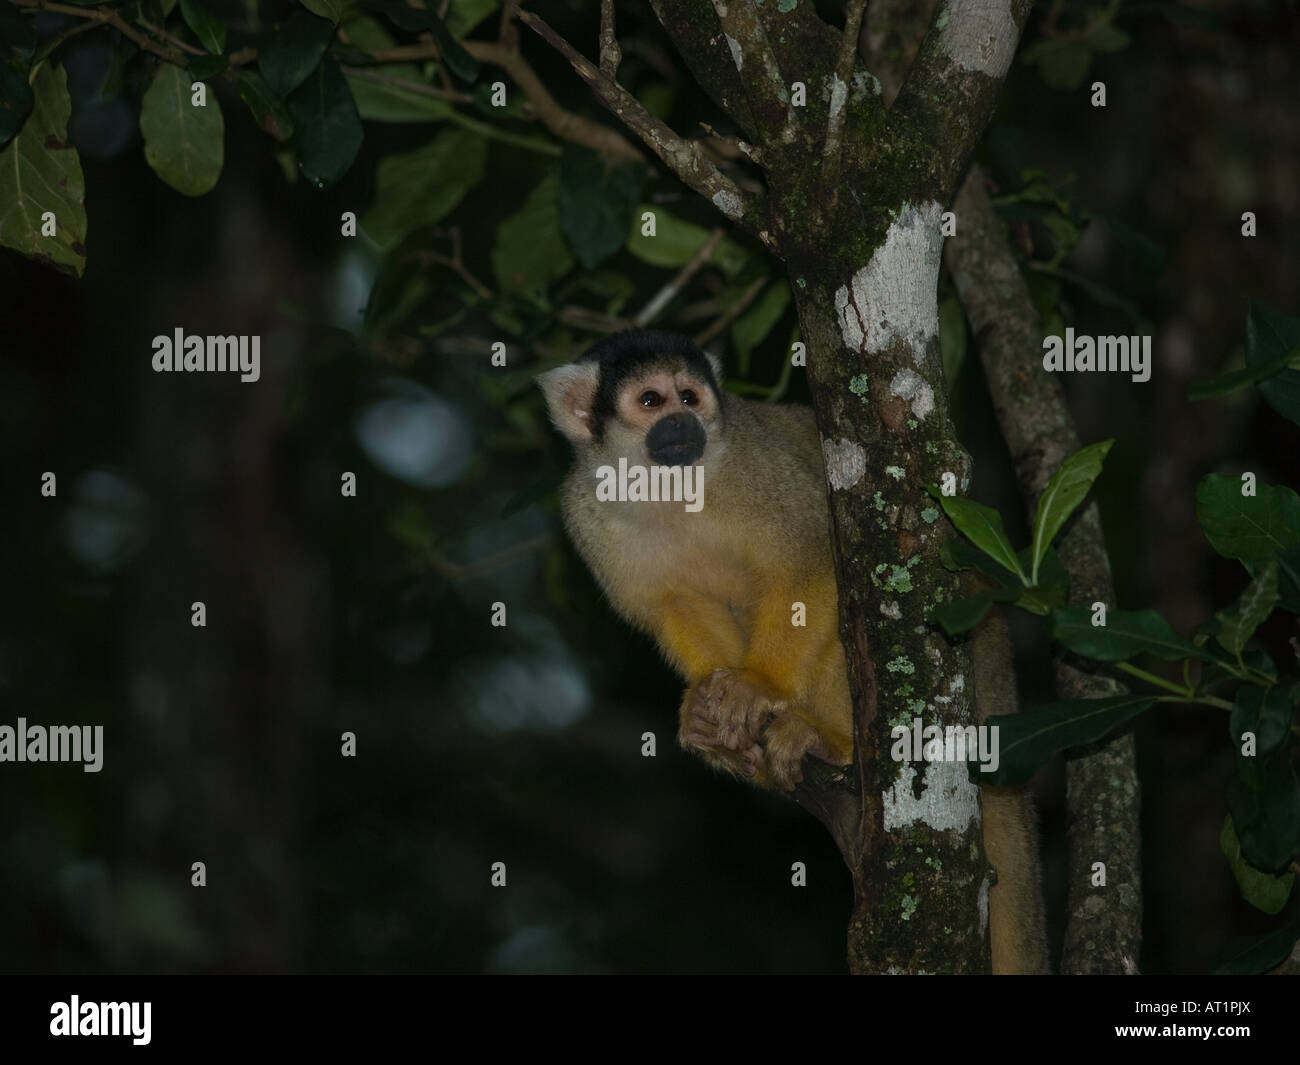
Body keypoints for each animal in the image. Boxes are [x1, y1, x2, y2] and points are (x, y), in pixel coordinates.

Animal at [536, 328, 1048, 974]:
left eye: (690, 396)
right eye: (652, 401)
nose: (684, 424)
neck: (663, 484)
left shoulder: (752, 463)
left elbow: (814, 563)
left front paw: (760, 687)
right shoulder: (587, 514)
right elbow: (676, 605)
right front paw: (709, 710)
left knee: (859, 600)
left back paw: (830, 739)